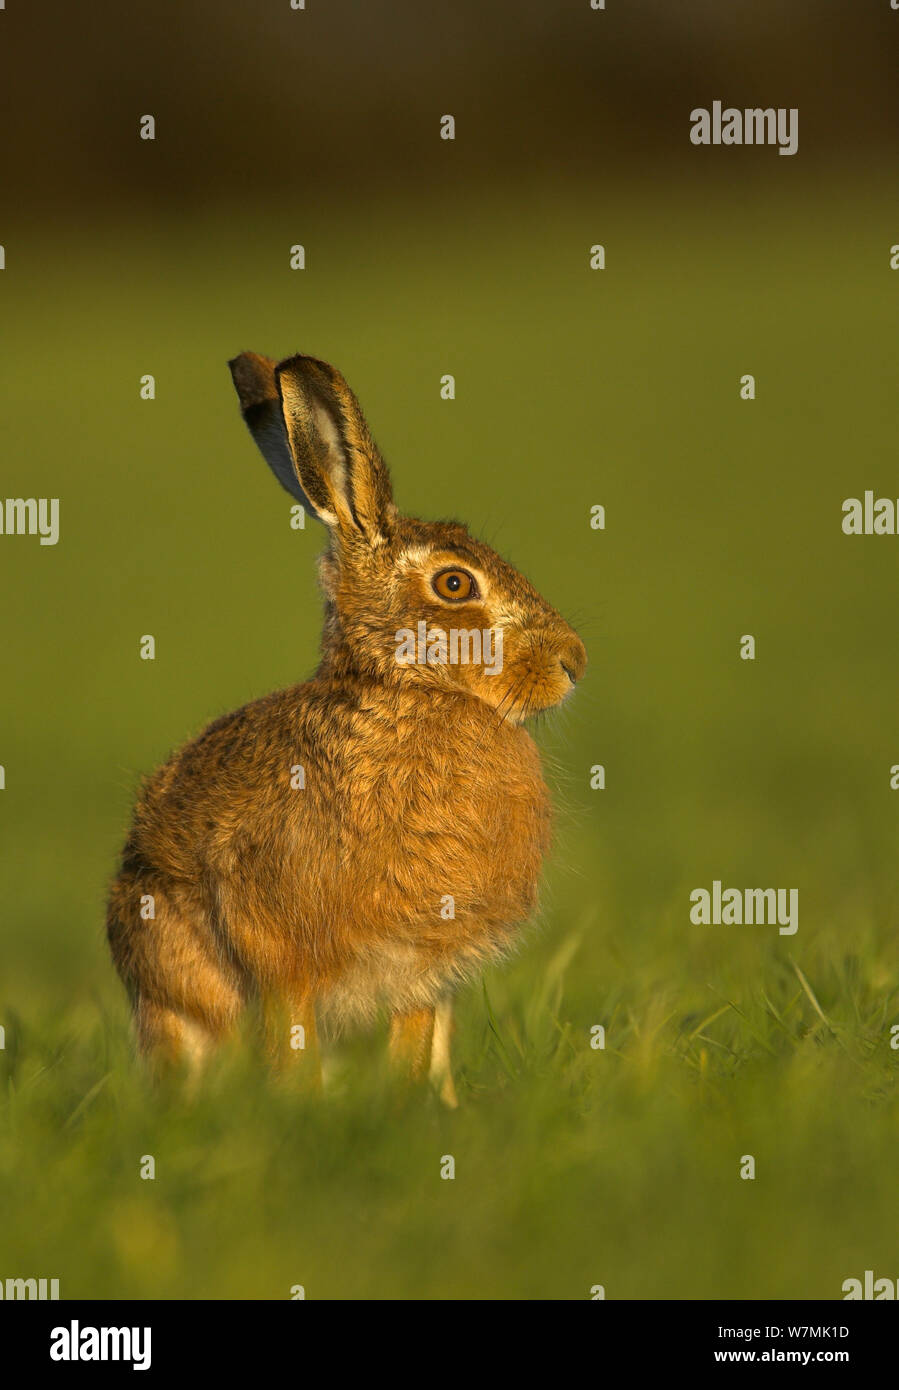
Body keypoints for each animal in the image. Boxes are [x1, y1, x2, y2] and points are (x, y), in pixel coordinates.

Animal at [106, 351, 587, 1104]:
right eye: (455, 585)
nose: (574, 661)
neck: (410, 692)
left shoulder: (427, 970)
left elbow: (414, 1046)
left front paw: (411, 1108)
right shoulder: (279, 951)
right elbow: (291, 1039)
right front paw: (301, 1107)